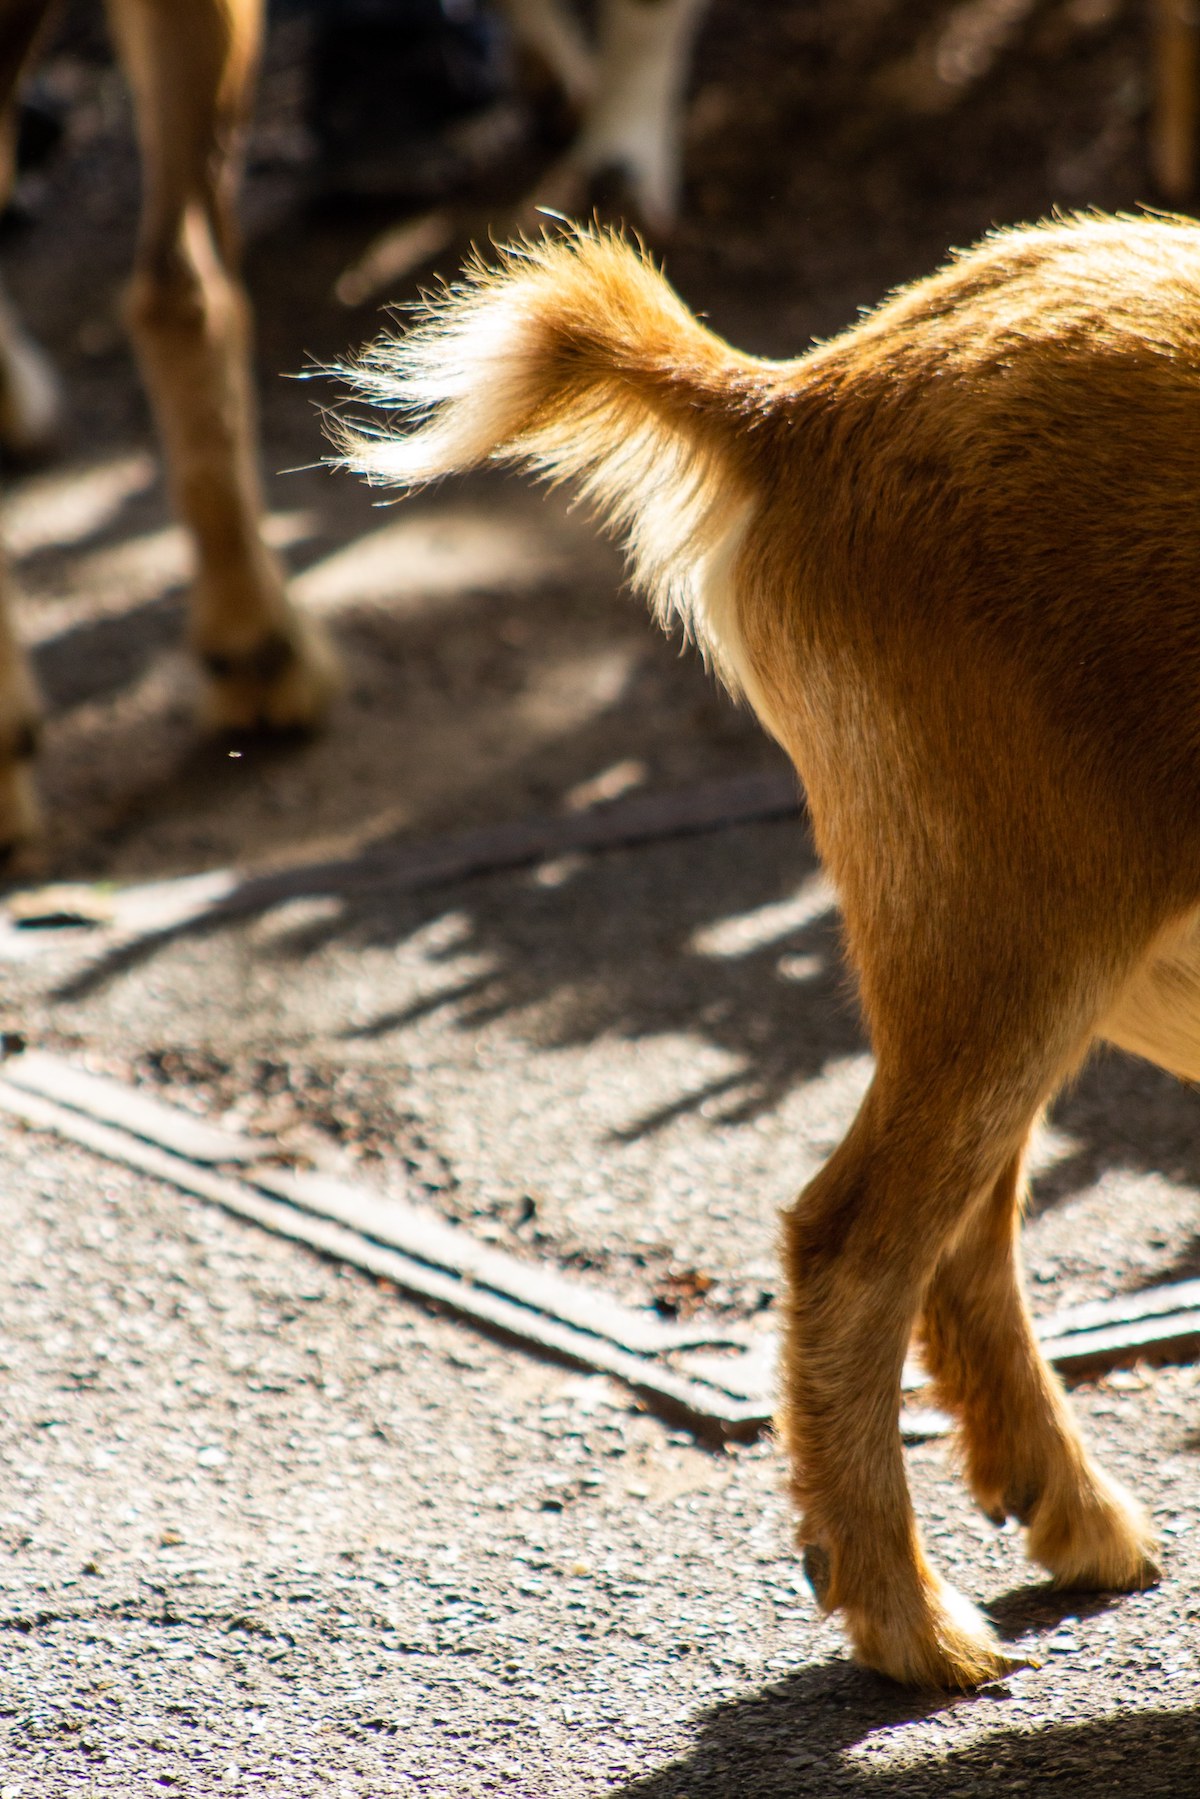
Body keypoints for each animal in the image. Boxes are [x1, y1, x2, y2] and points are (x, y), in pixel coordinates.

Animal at [335, 213, 1197, 1687]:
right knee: (859, 1239)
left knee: (961, 1232)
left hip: (1005, 933)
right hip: (1013, 905)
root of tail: (796, 408)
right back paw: (918, 1625)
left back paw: (1072, 1524)